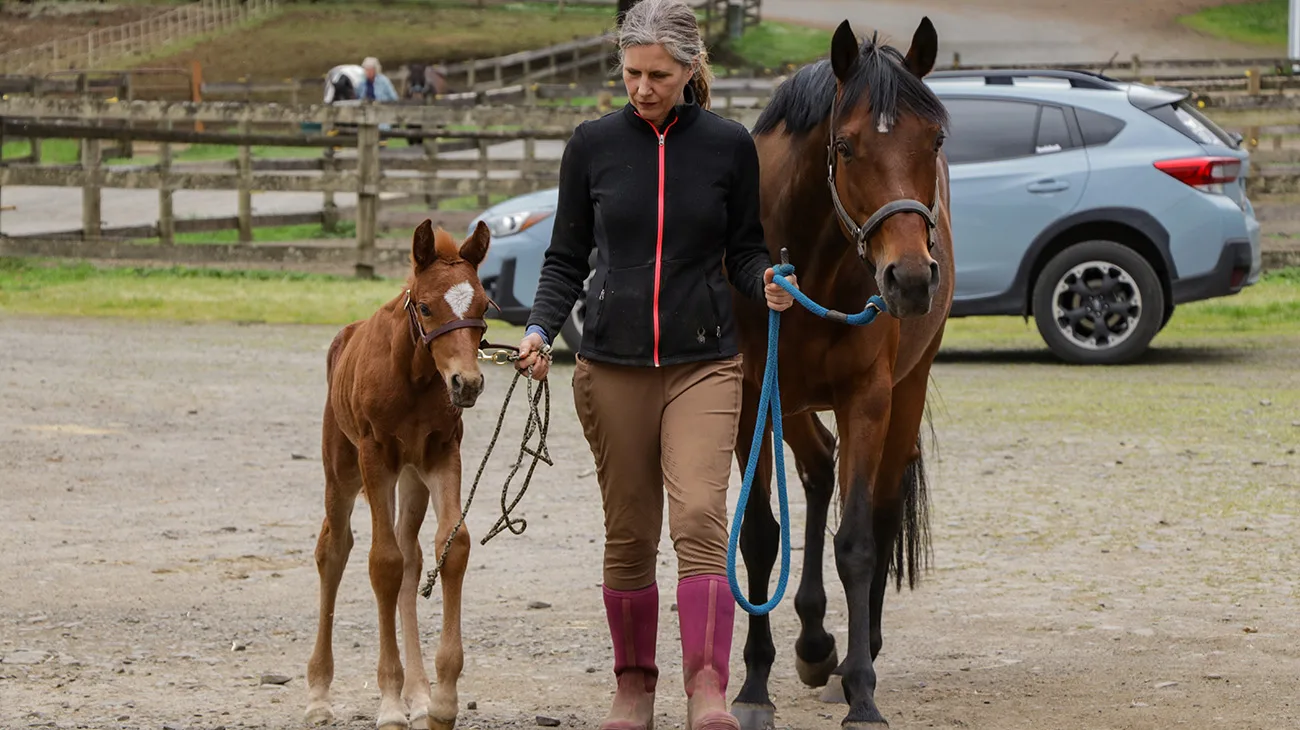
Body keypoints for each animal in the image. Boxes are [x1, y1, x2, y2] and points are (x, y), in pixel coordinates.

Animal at [305, 219, 494, 730]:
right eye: (425, 307)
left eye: (483, 308)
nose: (467, 384)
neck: (414, 376)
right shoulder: (376, 456)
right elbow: (382, 563)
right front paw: (389, 702)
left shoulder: (442, 453)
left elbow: (452, 545)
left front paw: (442, 699)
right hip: (343, 470)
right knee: (334, 548)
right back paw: (319, 693)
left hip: (410, 478)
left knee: (412, 557)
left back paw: (420, 693)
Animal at [727, 17, 954, 730]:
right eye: (847, 147)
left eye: (935, 139)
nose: (909, 278)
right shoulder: (753, 399)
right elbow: (760, 538)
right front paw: (753, 688)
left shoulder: (867, 399)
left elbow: (856, 542)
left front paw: (862, 694)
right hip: (795, 405)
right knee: (818, 467)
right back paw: (812, 643)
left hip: (906, 389)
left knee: (878, 509)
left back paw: (855, 655)